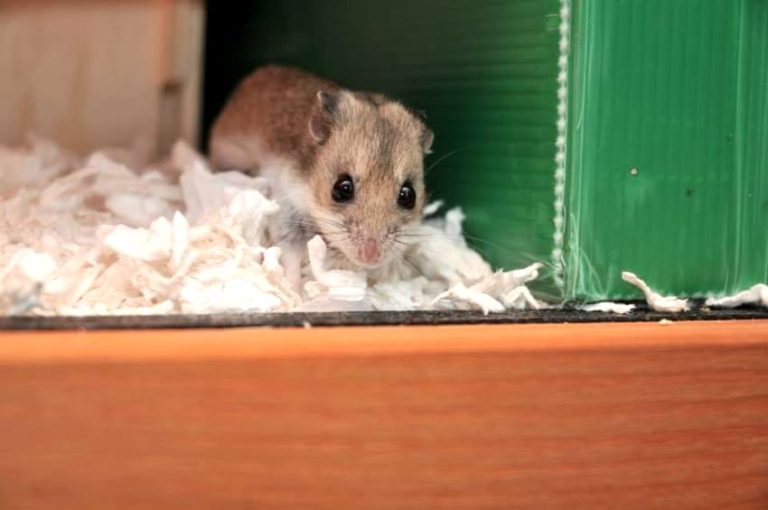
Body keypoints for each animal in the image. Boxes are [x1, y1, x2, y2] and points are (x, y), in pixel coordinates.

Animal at [209, 65, 433, 285]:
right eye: (342, 188)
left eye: (409, 196)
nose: (370, 257)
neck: (309, 181)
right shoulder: (287, 209)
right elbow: (290, 253)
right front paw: (294, 290)